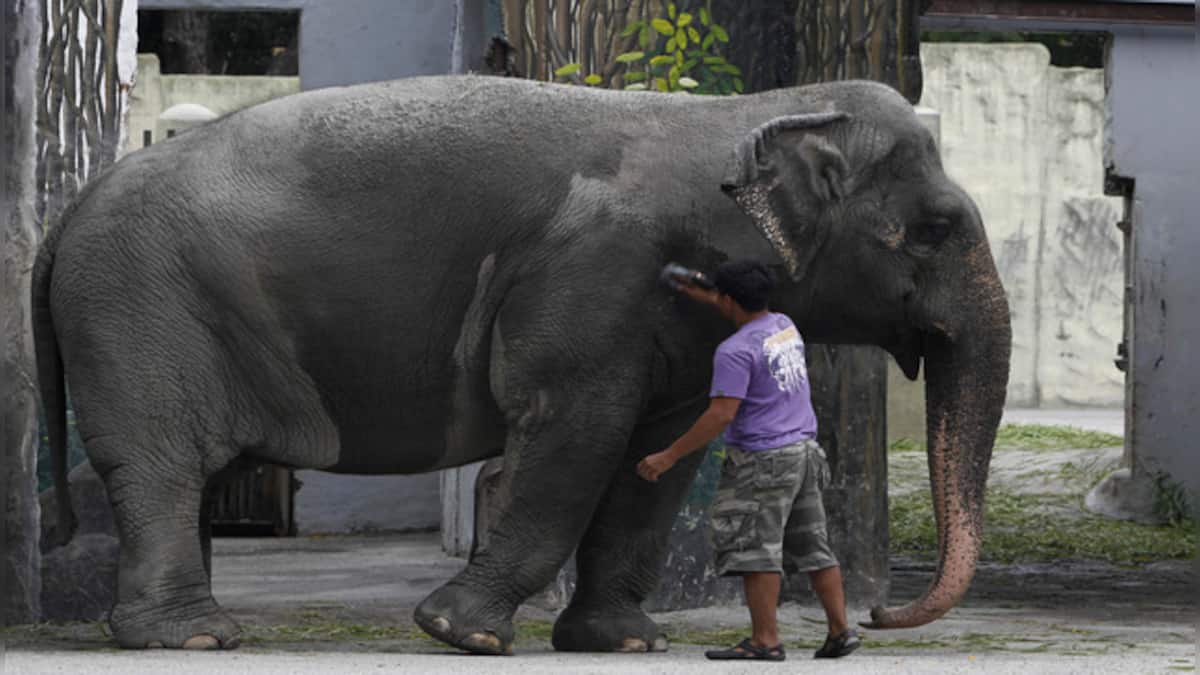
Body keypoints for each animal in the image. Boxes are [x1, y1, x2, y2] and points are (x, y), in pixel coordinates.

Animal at [33, 74, 1010, 654]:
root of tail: (71, 207)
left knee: (181, 477)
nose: (883, 614)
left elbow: (657, 458)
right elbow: (574, 431)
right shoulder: (593, 272)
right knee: (164, 465)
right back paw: (195, 638)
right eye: (934, 228)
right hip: (140, 311)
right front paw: (460, 633)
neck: (744, 113)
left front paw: (625, 642)